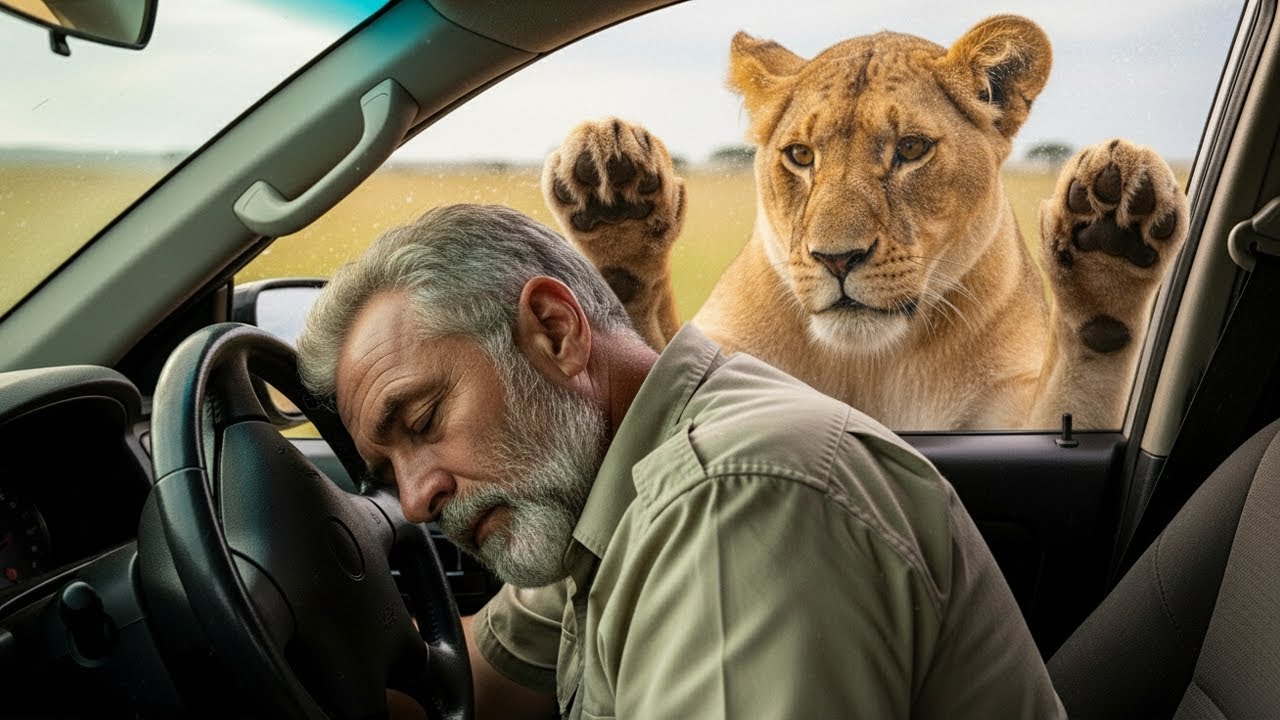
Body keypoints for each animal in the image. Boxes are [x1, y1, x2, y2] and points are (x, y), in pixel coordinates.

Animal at [539, 15, 1188, 431]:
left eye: (911, 149)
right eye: (801, 155)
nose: (837, 258)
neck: (867, 363)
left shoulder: (1011, 413)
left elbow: (1082, 391)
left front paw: (1109, 233)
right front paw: (615, 185)